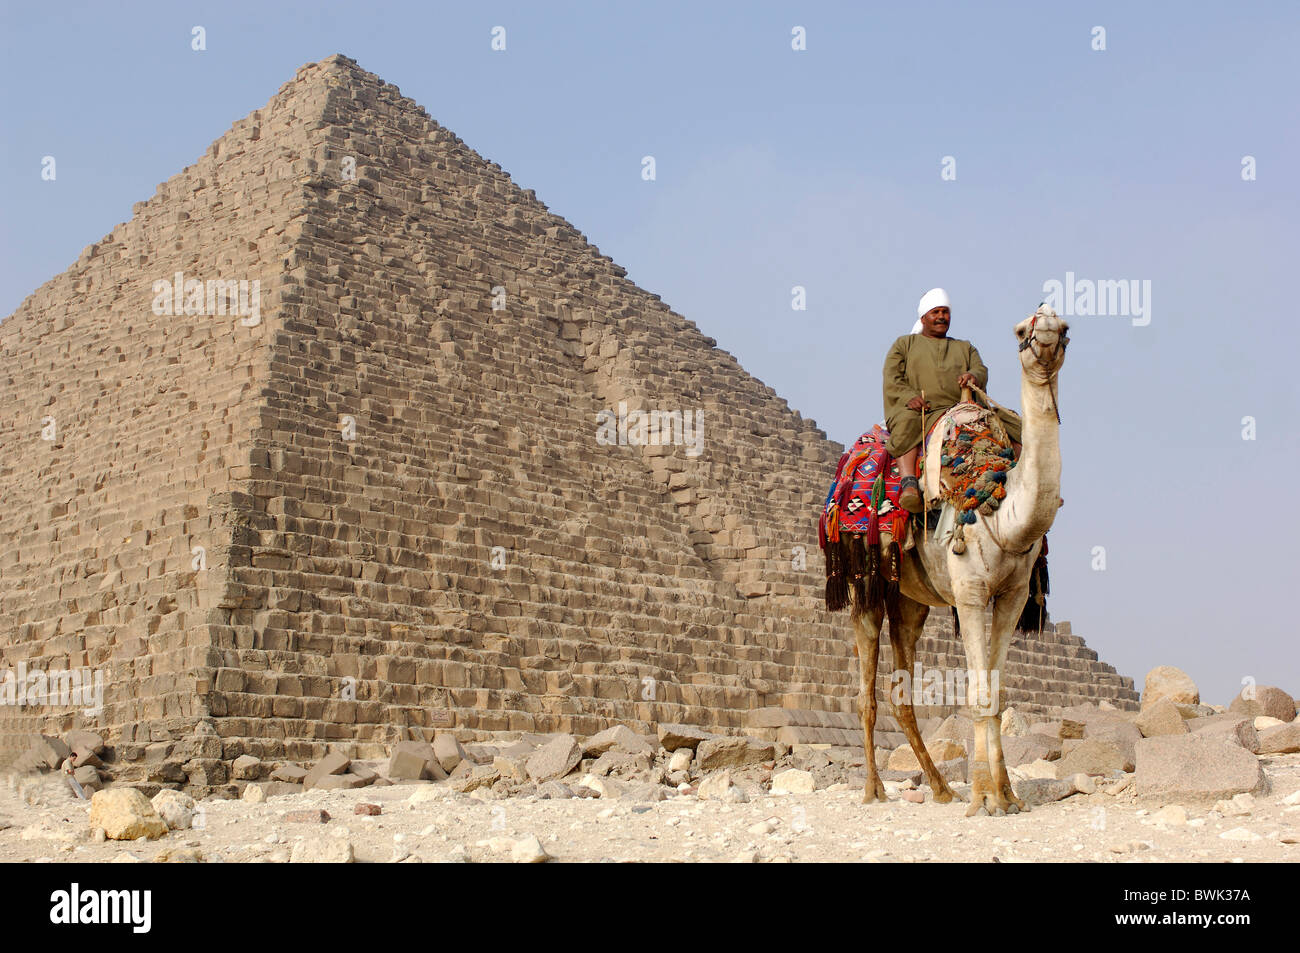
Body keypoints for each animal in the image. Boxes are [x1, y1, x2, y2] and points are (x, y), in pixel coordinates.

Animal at [852, 305, 1068, 816]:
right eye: (1022, 329)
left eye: (1066, 327)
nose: (1047, 330)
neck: (1003, 512)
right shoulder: (970, 593)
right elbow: (977, 692)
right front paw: (984, 798)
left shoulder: (1012, 596)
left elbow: (998, 692)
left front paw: (1008, 795)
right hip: (862, 582)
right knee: (867, 694)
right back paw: (873, 789)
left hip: (909, 600)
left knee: (900, 695)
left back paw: (941, 788)